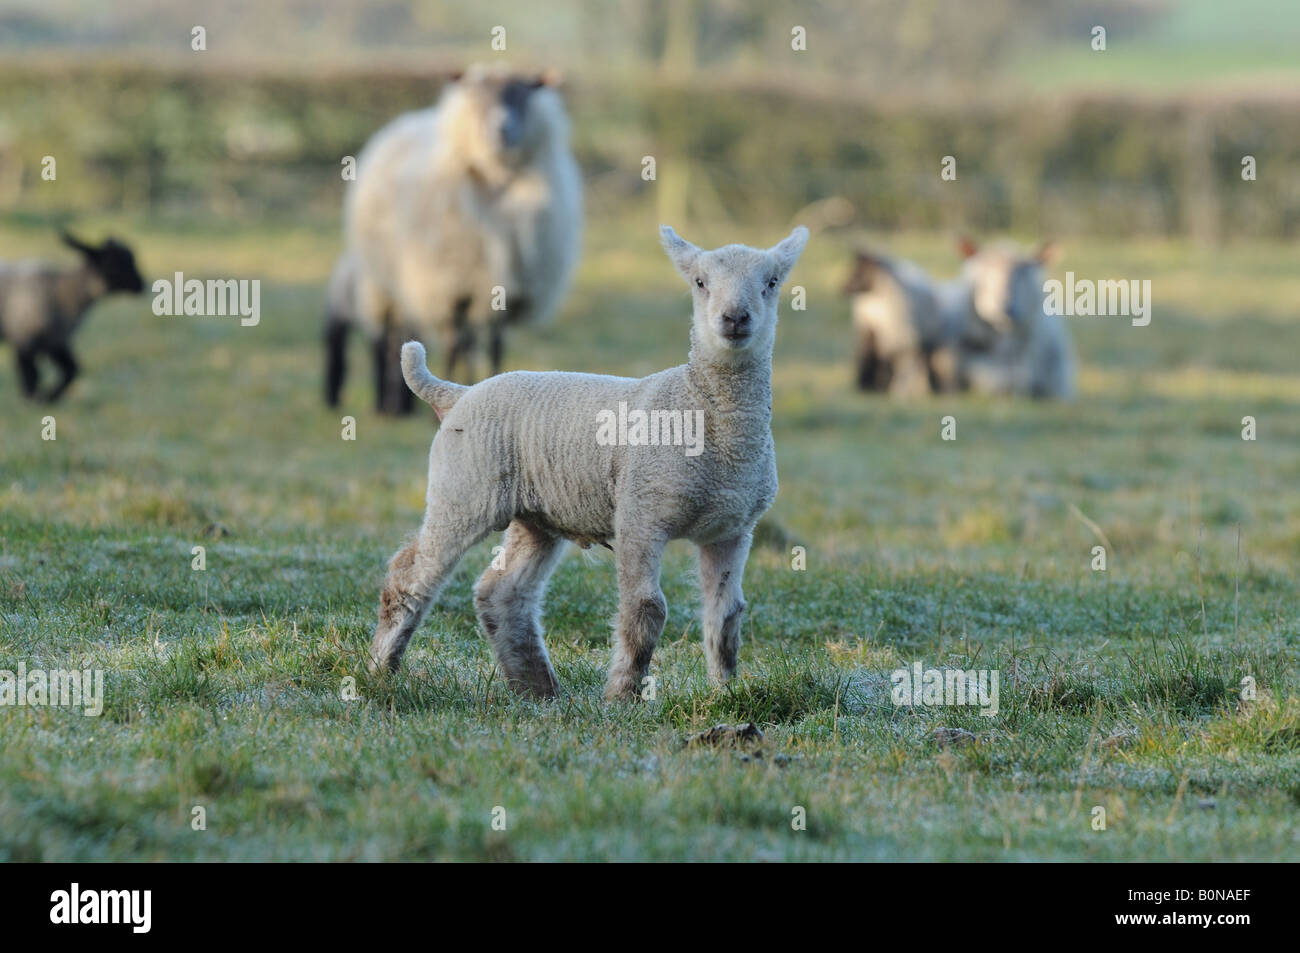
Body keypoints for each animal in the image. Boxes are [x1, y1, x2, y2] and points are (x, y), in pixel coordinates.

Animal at [0, 231, 144, 401]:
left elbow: (72, 369)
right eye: (113, 264)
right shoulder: (24, 338)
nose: (142, 285)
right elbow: (31, 376)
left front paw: (50, 398)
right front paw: (35, 399)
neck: (62, 291)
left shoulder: (56, 340)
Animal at [340, 64, 582, 413]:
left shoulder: (500, 289)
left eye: (524, 92)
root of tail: (409, 117)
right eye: (477, 94)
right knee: (387, 336)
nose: (502, 130)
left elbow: (494, 345)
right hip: (383, 278)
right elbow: (457, 344)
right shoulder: (449, 288)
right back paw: (385, 404)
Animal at [369, 225, 809, 702]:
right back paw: (380, 670)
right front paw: (623, 697)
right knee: (411, 574)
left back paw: (537, 689)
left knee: (501, 592)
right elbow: (646, 608)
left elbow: (727, 615)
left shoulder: (733, 529)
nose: (735, 318)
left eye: (771, 283)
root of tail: (457, 392)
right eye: (699, 282)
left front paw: (725, 694)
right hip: (463, 489)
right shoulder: (640, 513)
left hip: (536, 514)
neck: (705, 413)